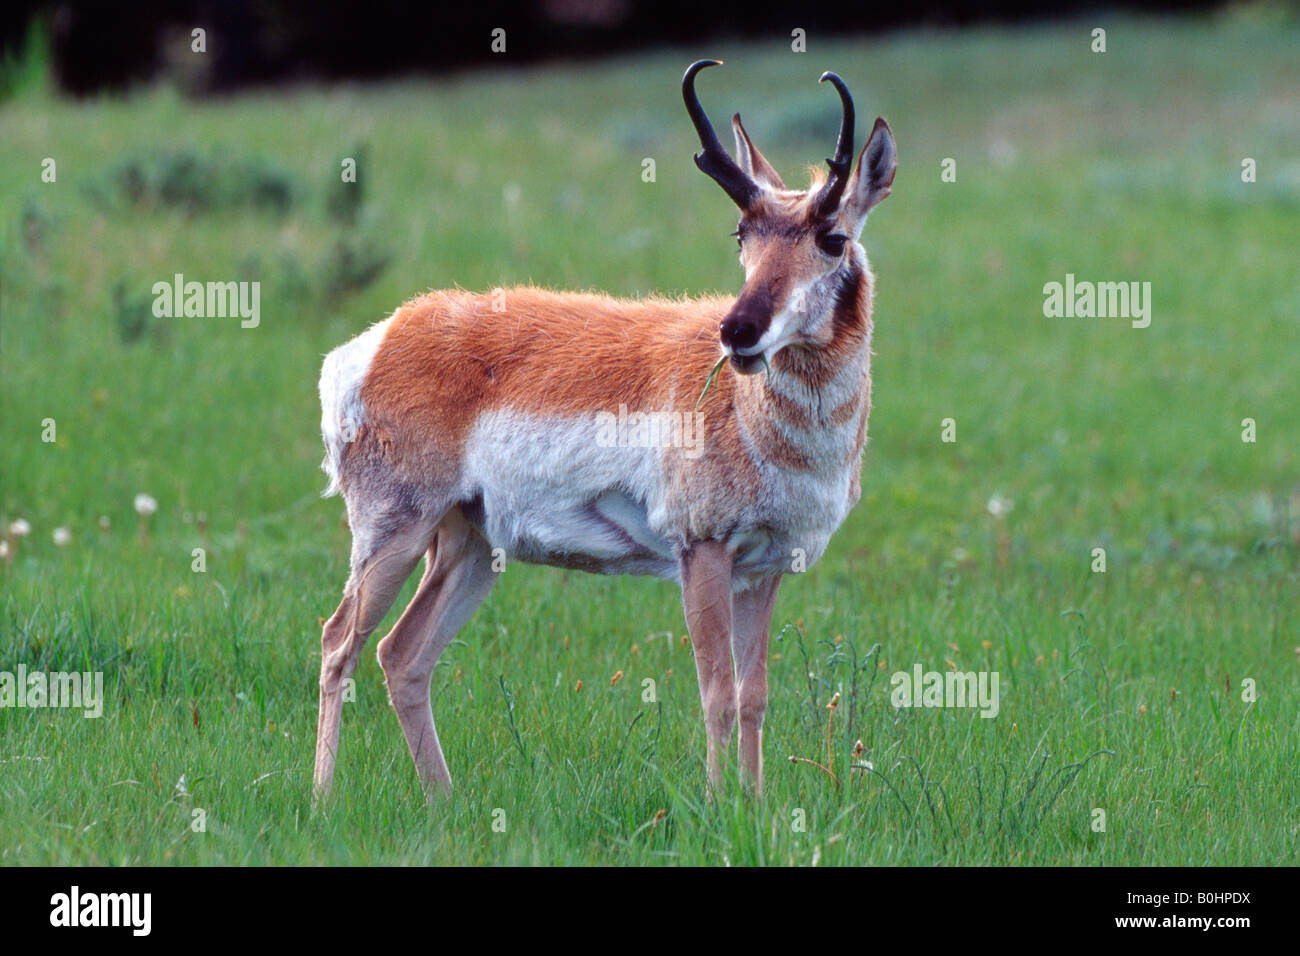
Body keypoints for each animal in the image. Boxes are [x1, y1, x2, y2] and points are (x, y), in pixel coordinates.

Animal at [313, 60, 896, 799]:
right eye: (743, 235)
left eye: (833, 238)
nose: (737, 331)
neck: (751, 414)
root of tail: (378, 339)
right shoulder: (702, 552)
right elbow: (716, 693)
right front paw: (719, 805)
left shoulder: (764, 570)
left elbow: (755, 695)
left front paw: (757, 804)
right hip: (396, 531)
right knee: (339, 643)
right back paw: (322, 800)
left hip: (470, 544)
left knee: (402, 655)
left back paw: (444, 803)